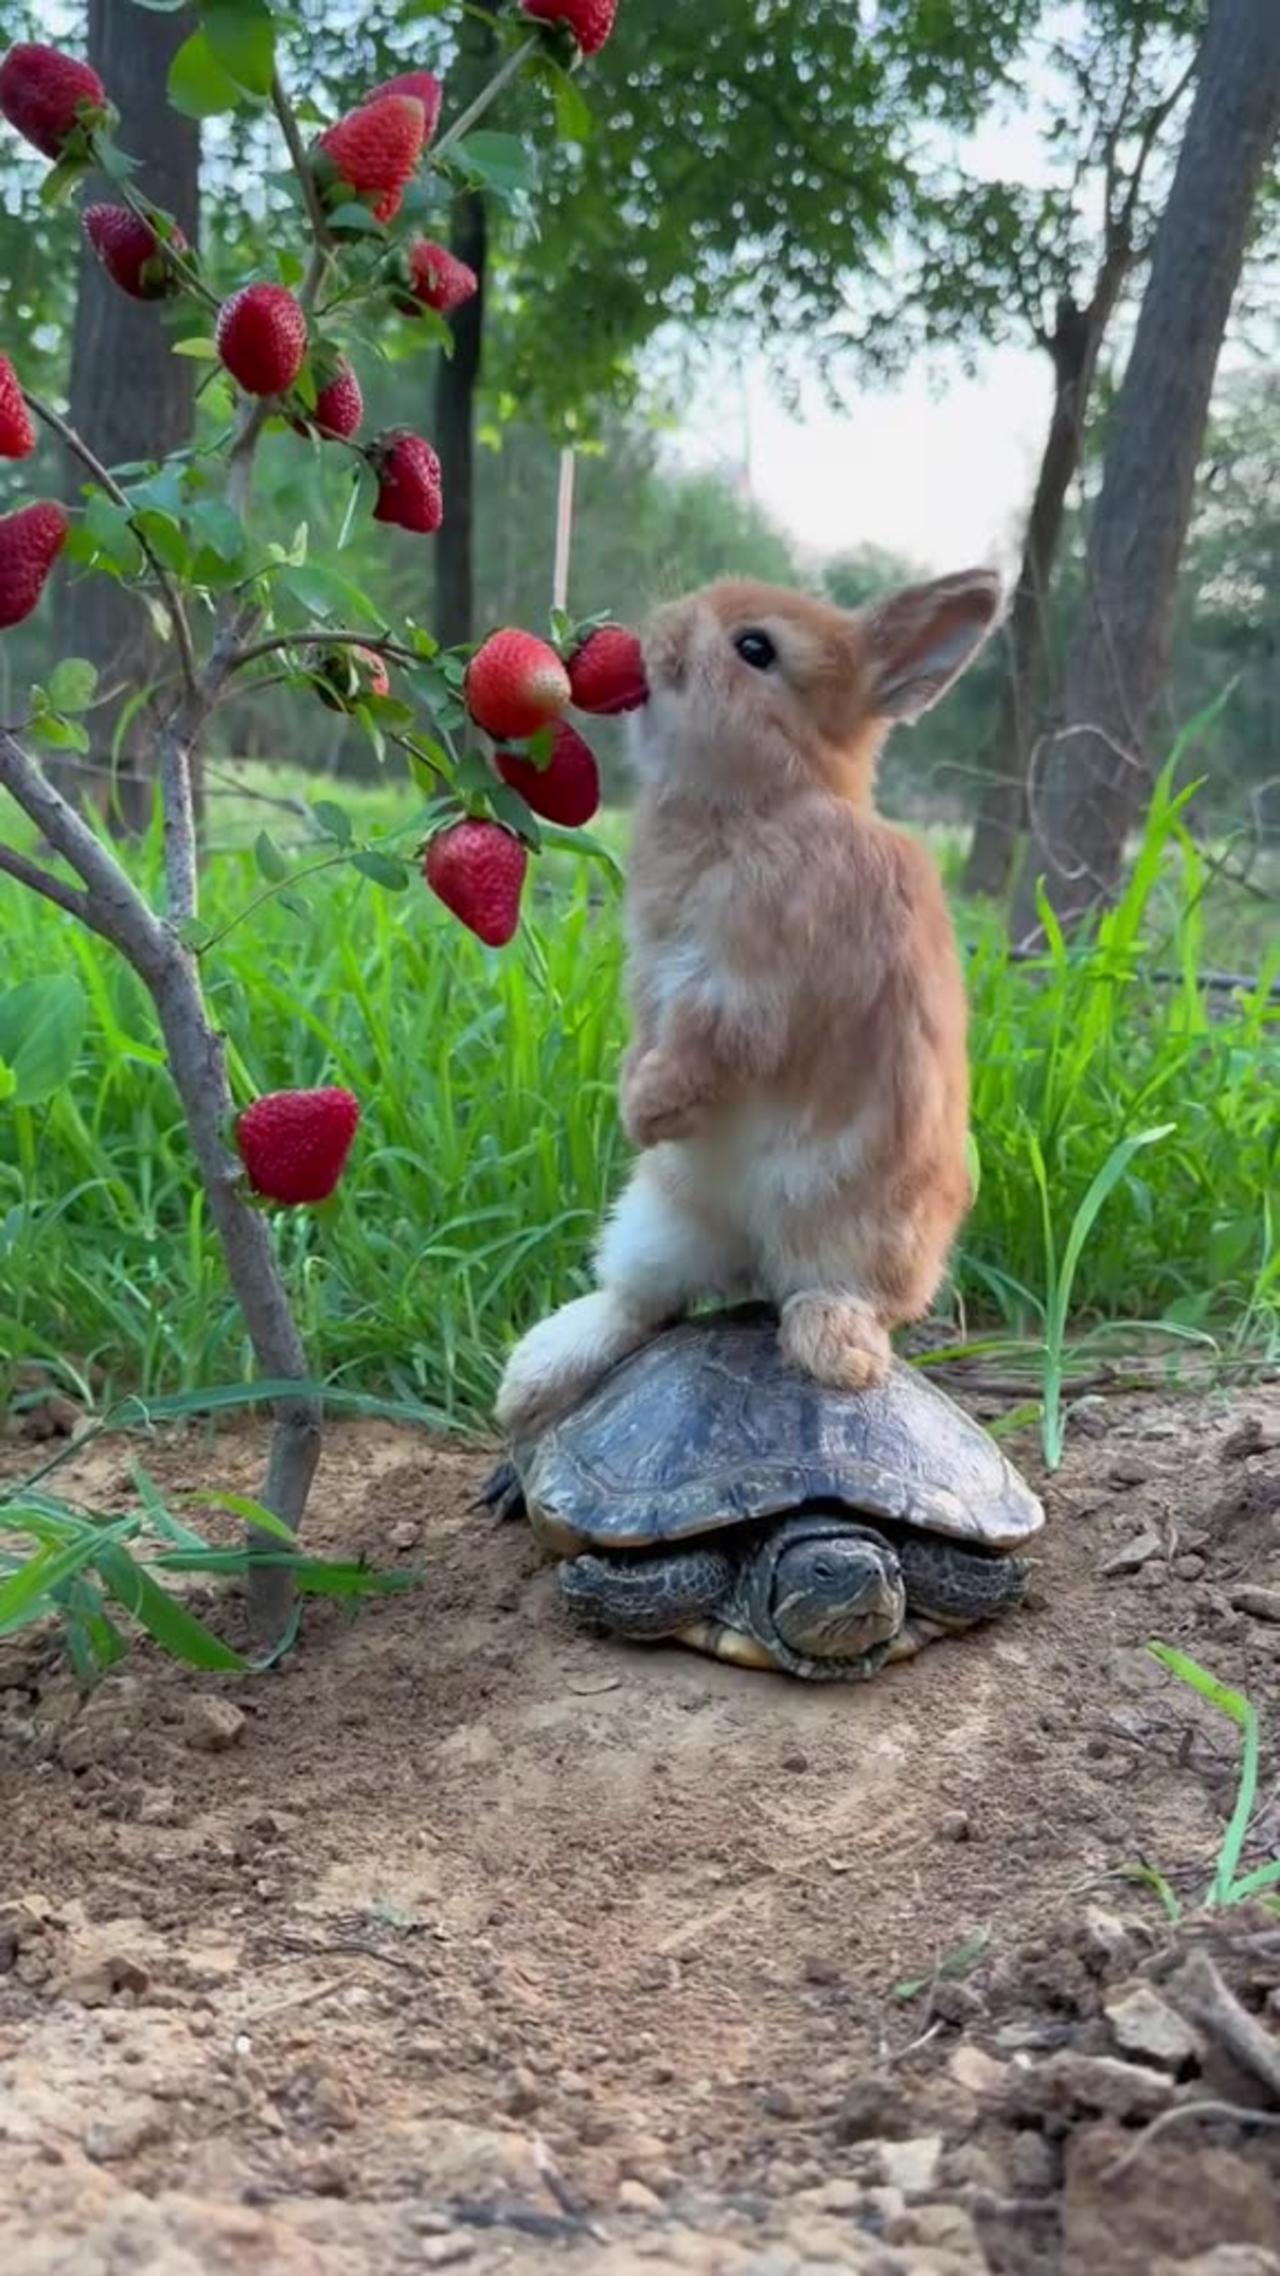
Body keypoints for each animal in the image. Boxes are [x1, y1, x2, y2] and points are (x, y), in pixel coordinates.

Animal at [496, 566, 1002, 1438]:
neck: (761, 804)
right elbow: (651, 1039)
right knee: (639, 1302)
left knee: (834, 1297)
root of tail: (755, 1255)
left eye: (755, 649)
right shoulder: (658, 981)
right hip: (659, 1221)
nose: (657, 636)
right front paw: (636, 1106)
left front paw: (647, 1114)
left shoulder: (748, 991)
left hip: (866, 1232)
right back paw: (529, 1380)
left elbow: (708, 1046)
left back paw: (838, 1354)